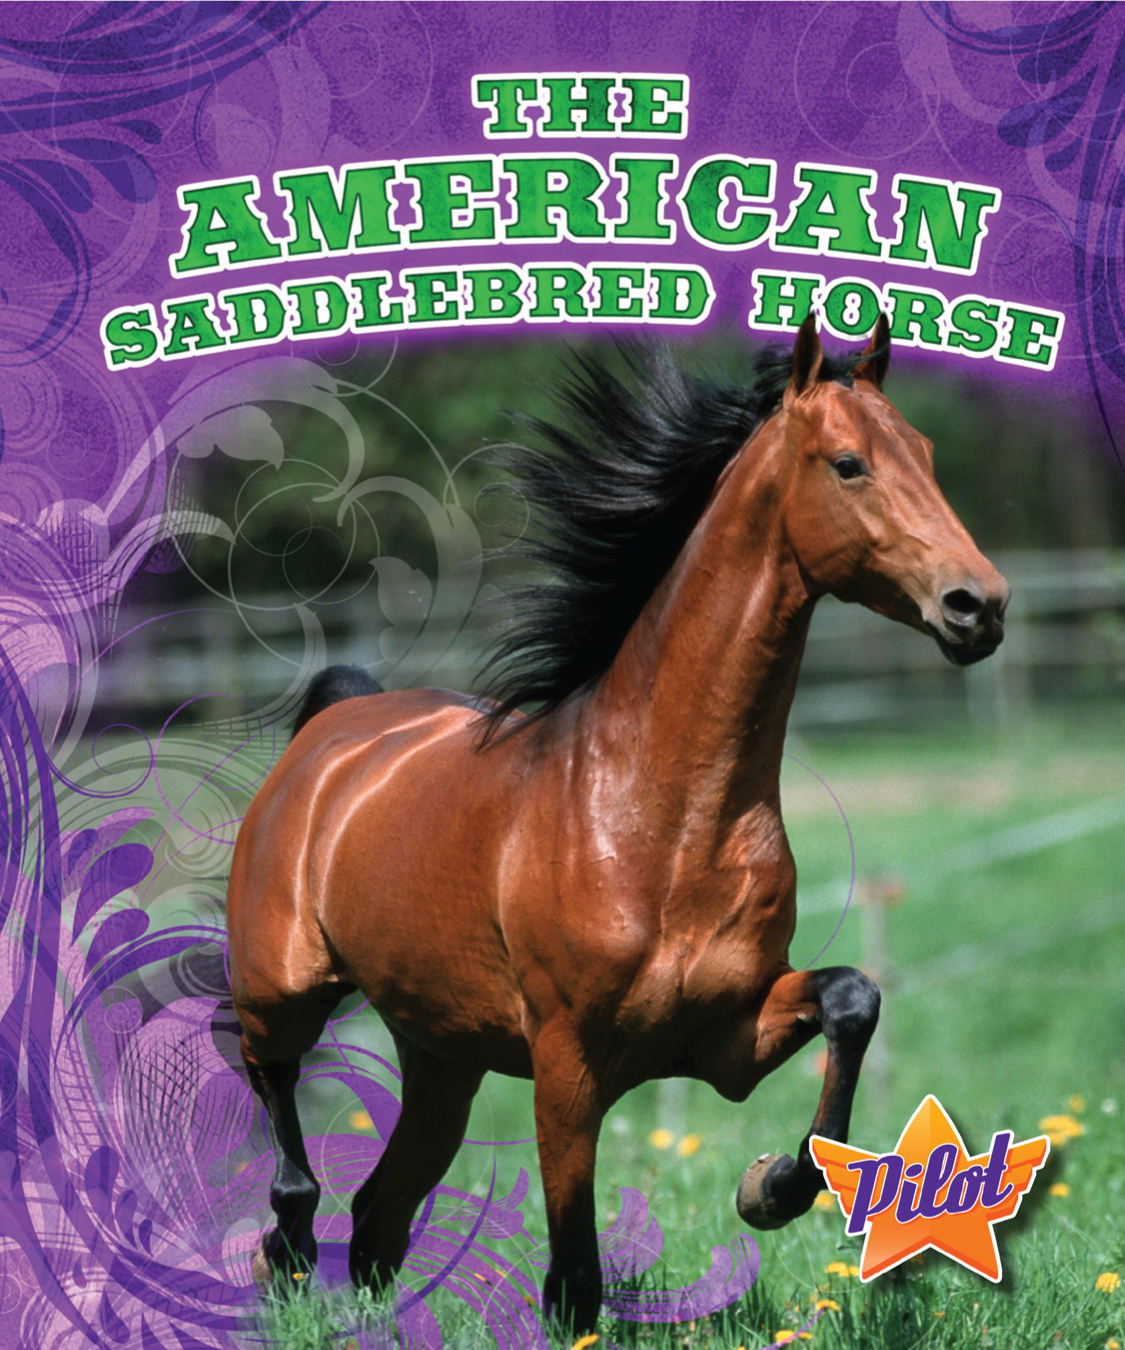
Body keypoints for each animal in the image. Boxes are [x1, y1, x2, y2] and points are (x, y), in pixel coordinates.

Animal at [226, 316, 1009, 1332]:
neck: (662, 821)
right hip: (284, 986)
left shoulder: (726, 1034)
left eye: (925, 453)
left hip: (442, 1058)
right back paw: (282, 1250)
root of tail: (336, 724)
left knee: (379, 1214)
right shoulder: (567, 1063)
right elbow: (574, 1278)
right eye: (848, 464)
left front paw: (767, 1186)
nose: (977, 605)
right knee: (283, 1110)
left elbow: (850, 998)